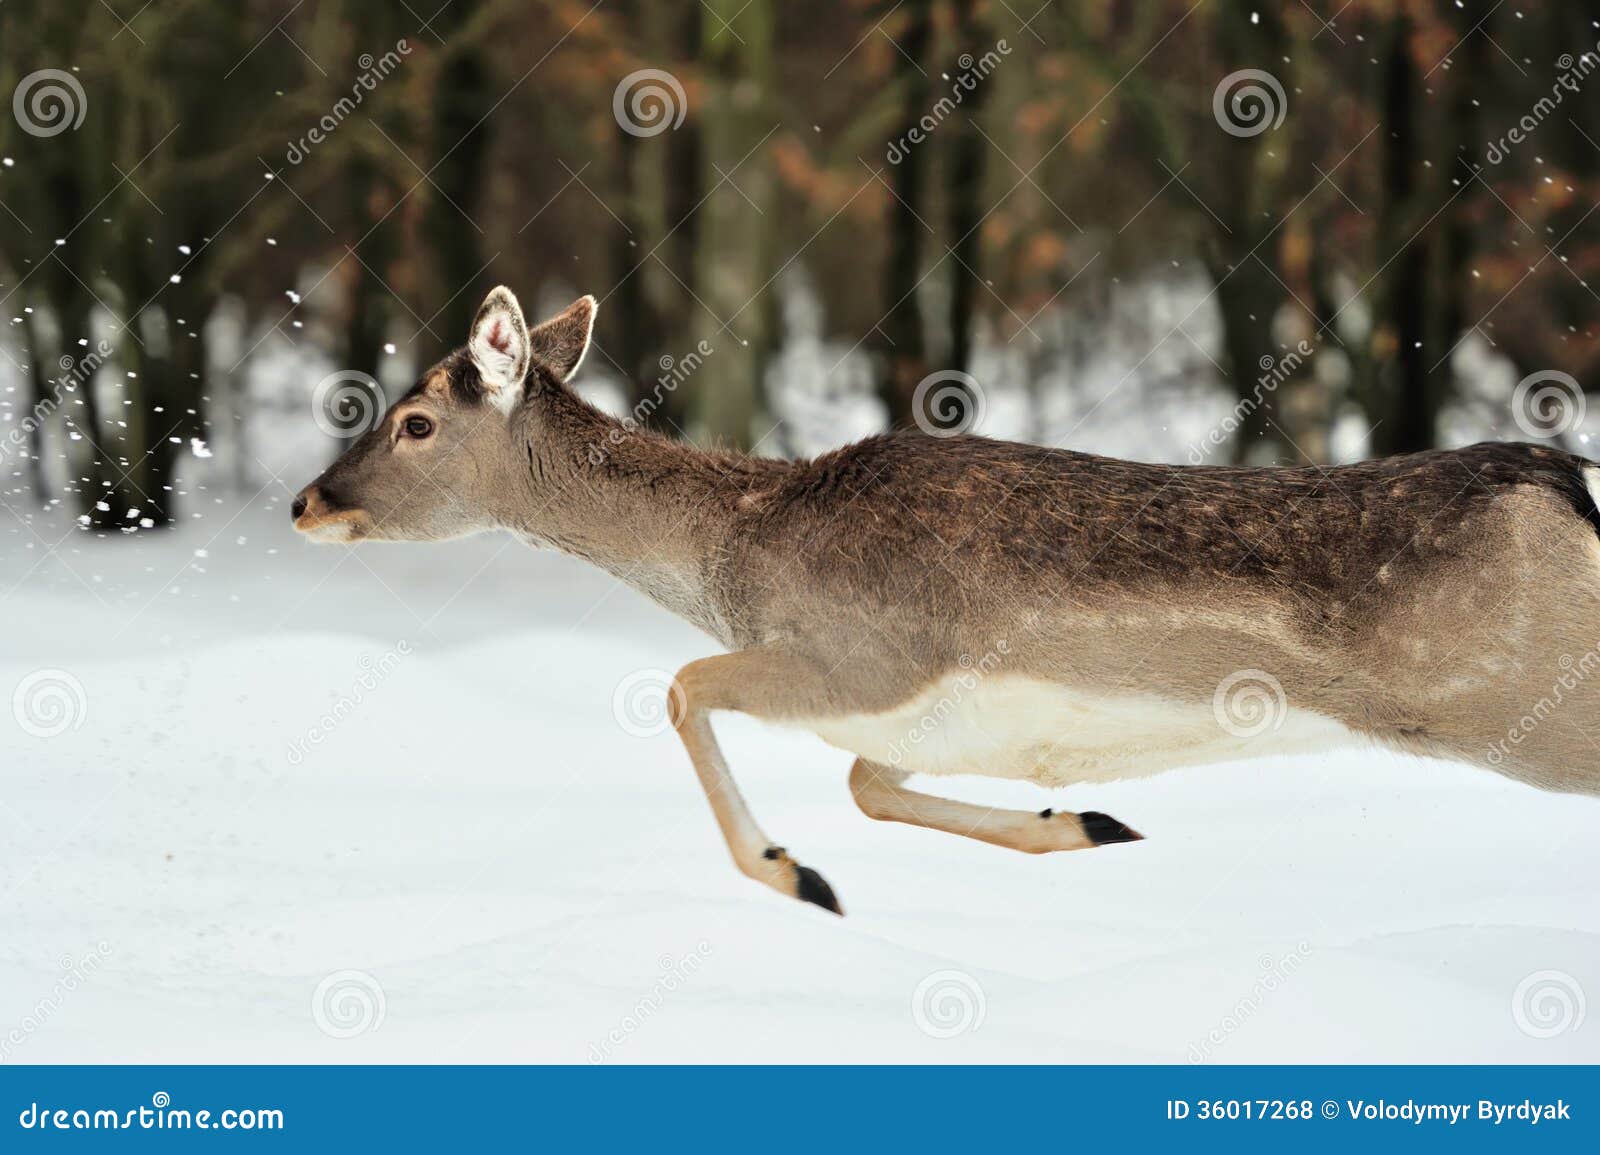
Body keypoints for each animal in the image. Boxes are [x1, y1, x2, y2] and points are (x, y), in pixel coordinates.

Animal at [293, 286, 1600, 915]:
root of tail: (1567, 481)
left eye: (415, 420)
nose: (307, 502)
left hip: (1536, 710)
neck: (738, 564)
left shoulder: (858, 655)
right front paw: (1085, 821)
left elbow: (681, 686)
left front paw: (796, 877)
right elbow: (870, 785)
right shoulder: (914, 712)